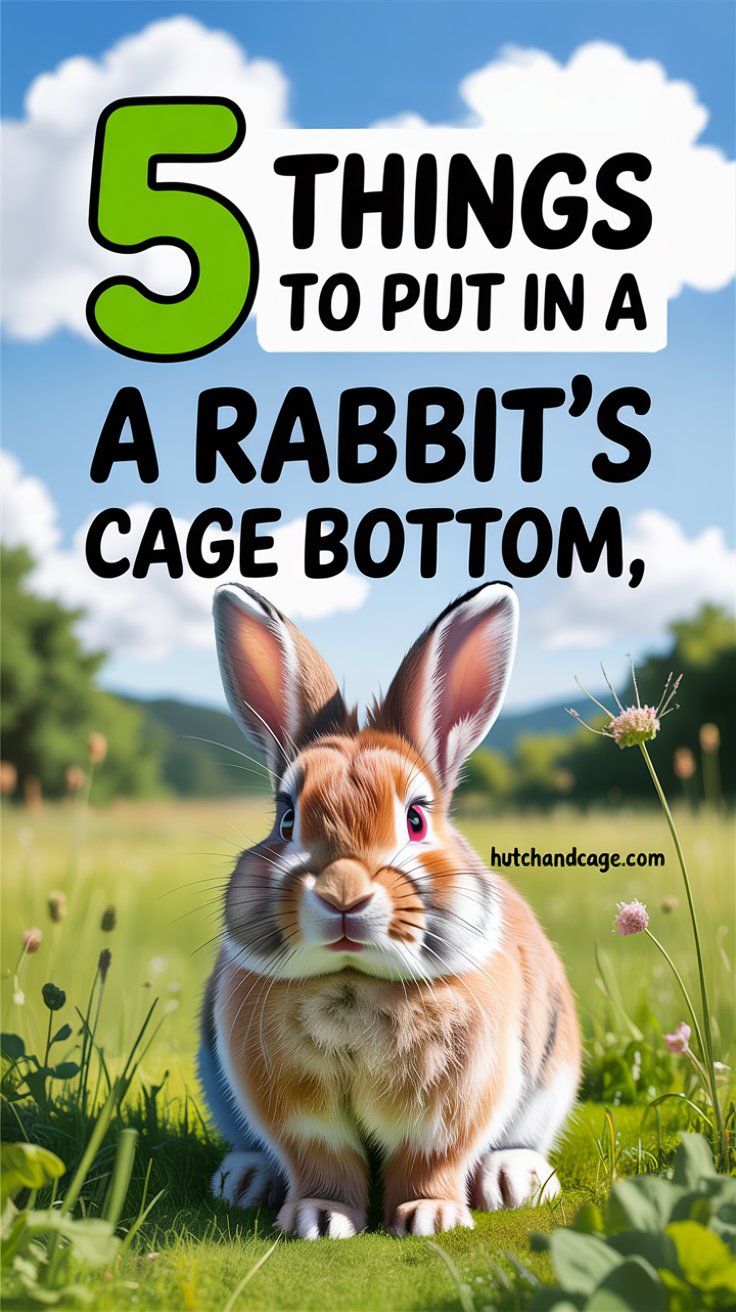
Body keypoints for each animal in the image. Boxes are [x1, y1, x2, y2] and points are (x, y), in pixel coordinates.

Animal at [198, 581, 581, 1240]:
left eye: (416, 818)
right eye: (286, 818)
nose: (342, 893)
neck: (355, 980)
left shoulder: (453, 1106)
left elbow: (430, 1160)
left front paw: (430, 1218)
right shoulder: (298, 1113)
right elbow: (322, 1160)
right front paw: (320, 1220)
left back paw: (512, 1180)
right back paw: (245, 1179)